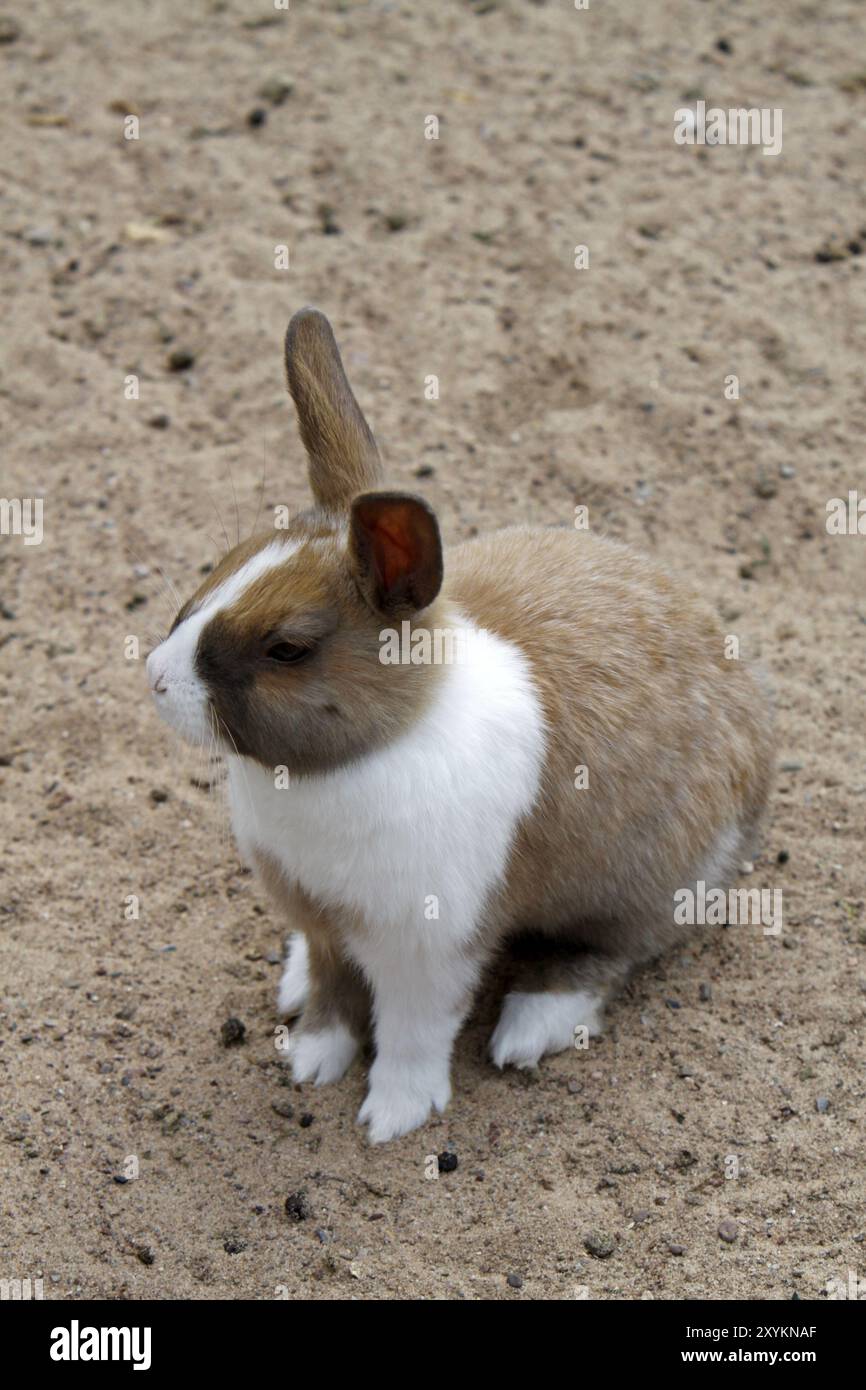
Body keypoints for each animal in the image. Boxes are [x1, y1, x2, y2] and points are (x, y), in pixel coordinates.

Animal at [146, 307, 774, 1143]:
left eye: (287, 648)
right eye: (224, 562)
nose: (156, 677)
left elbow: (414, 1032)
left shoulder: (431, 949)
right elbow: (332, 992)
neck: (372, 749)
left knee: (610, 954)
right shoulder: (324, 924)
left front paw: (392, 1115)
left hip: (645, 886)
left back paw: (527, 1029)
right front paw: (311, 1059)